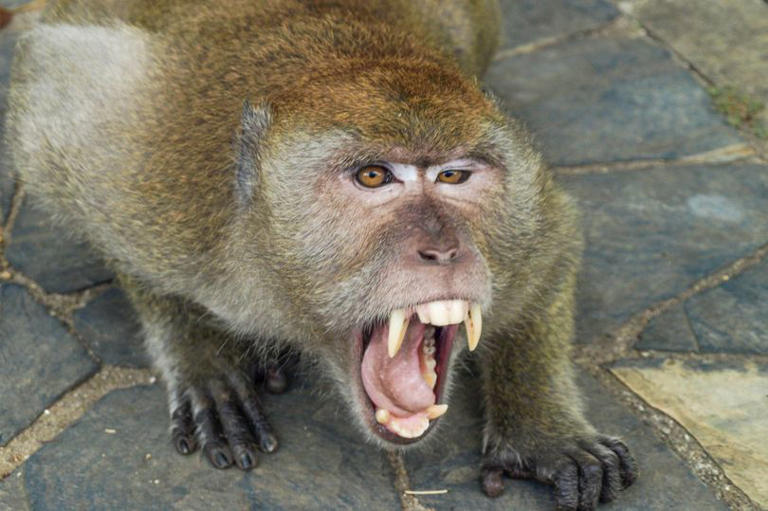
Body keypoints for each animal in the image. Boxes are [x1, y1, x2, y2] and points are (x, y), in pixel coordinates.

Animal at [5, 0, 637, 509]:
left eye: (454, 176)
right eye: (374, 176)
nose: (443, 249)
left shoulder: (525, 228)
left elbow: (556, 249)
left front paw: (542, 430)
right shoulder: (152, 182)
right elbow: (62, 140)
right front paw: (198, 350)